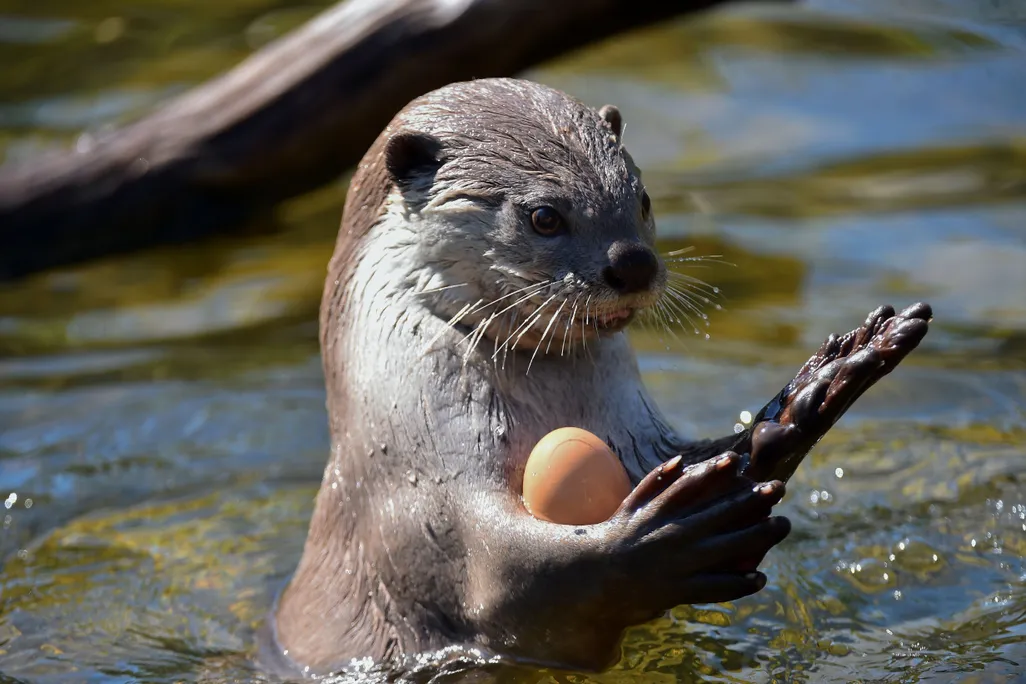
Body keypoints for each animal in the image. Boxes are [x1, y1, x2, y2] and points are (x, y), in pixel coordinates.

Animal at [266, 78, 931, 678]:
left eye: (642, 201)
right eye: (543, 217)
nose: (633, 263)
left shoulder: (640, 437)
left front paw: (816, 390)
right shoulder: (423, 502)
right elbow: (519, 583)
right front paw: (661, 540)